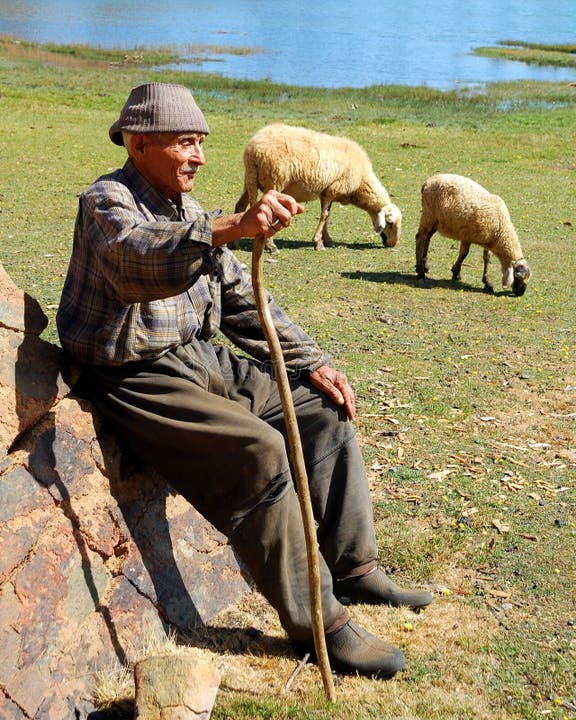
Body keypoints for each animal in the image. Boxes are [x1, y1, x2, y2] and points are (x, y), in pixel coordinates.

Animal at [232, 123, 402, 253]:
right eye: (390, 223)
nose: (392, 244)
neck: (361, 182)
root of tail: (253, 149)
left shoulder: (326, 192)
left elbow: (327, 215)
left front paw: (327, 240)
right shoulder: (333, 189)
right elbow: (324, 216)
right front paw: (318, 243)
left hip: (250, 179)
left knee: (241, 205)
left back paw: (235, 243)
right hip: (274, 181)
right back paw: (271, 246)